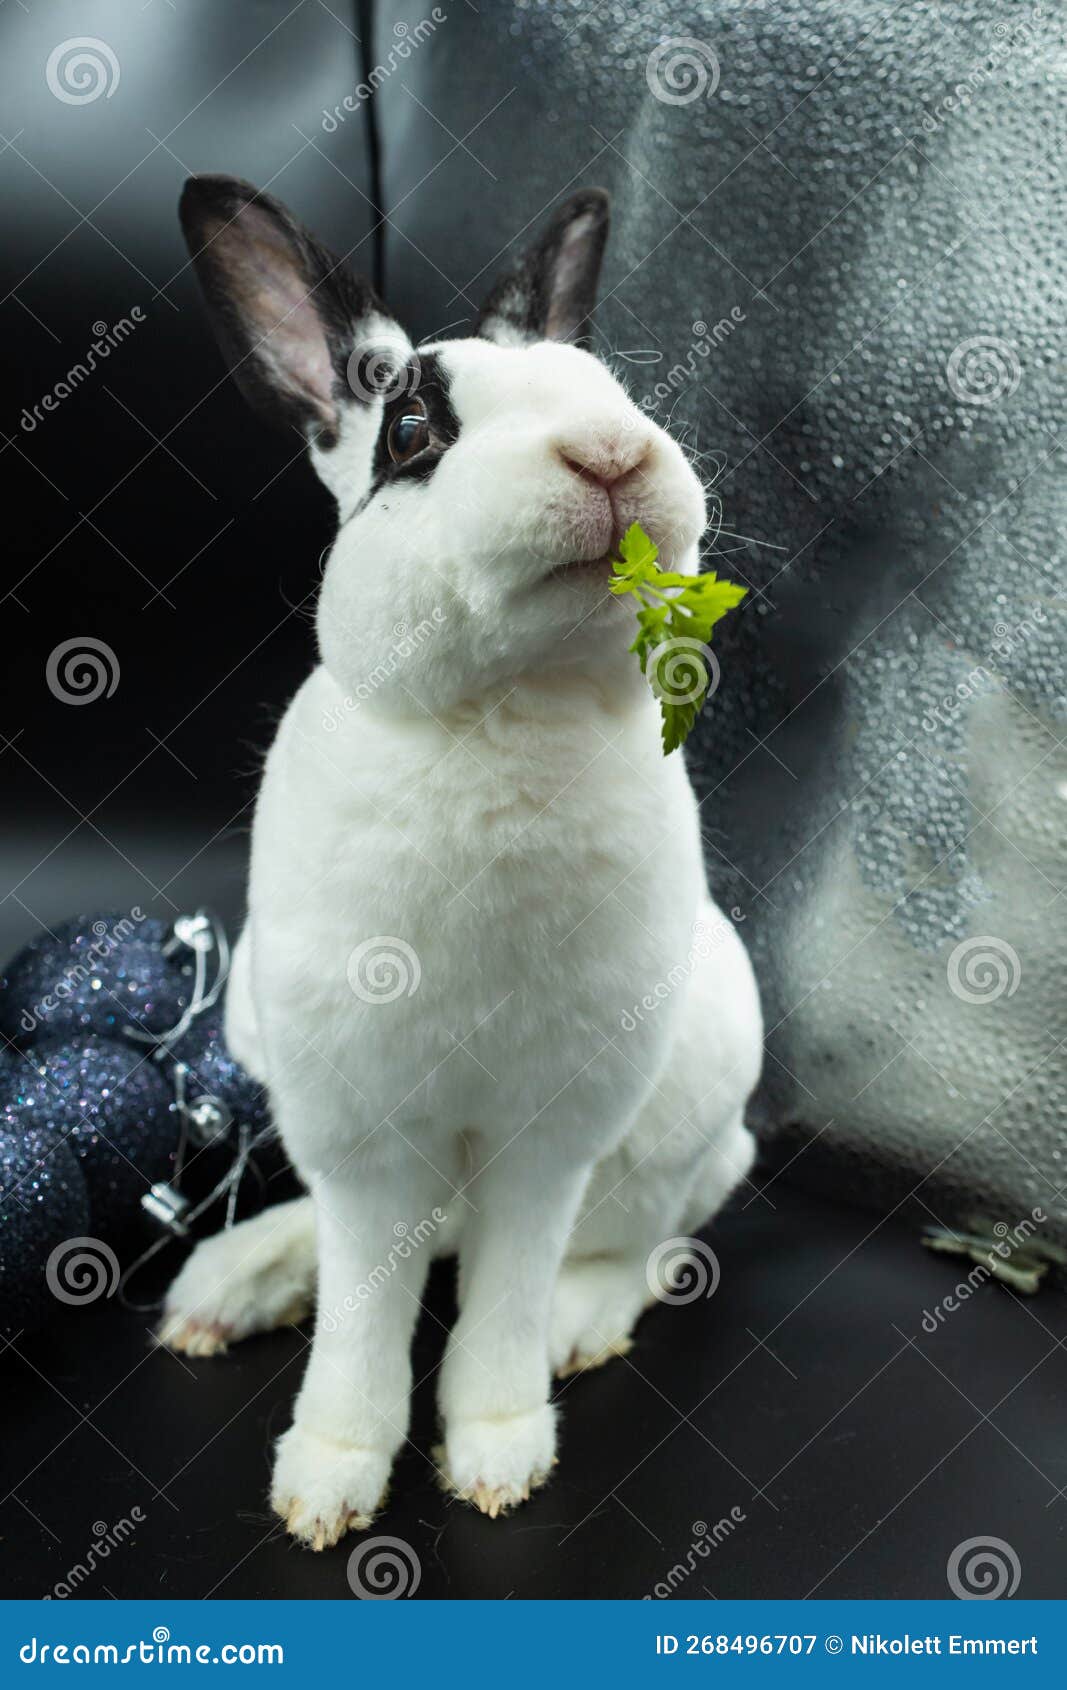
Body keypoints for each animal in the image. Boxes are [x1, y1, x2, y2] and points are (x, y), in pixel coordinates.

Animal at [159, 174, 763, 1549]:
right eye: (413, 427)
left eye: (611, 387)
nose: (612, 455)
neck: (509, 709)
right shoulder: (363, 1133)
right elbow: (365, 1308)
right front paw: (327, 1480)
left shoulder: (550, 1135)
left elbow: (501, 1302)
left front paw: (495, 1452)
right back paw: (234, 1280)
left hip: (692, 1099)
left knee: (652, 1233)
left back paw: (578, 1326)